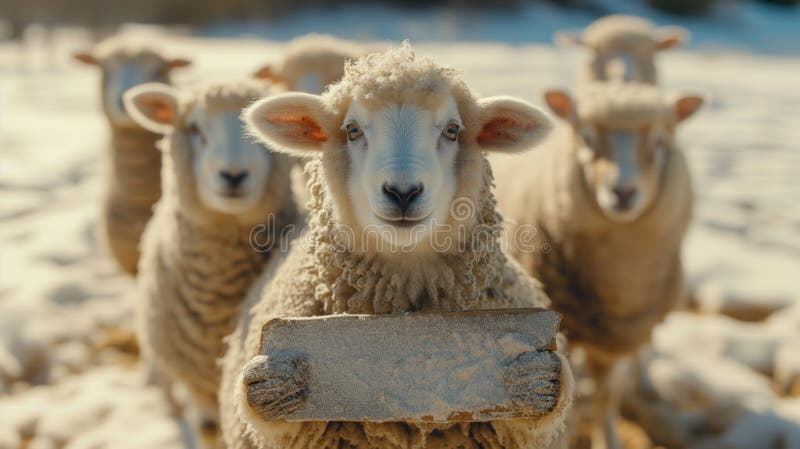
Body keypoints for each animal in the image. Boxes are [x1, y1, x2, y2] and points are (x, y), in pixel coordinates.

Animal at [490, 82, 704, 449]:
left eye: (660, 142)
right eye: (587, 138)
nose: (623, 192)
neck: (617, 282)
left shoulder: (615, 335)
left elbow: (608, 397)